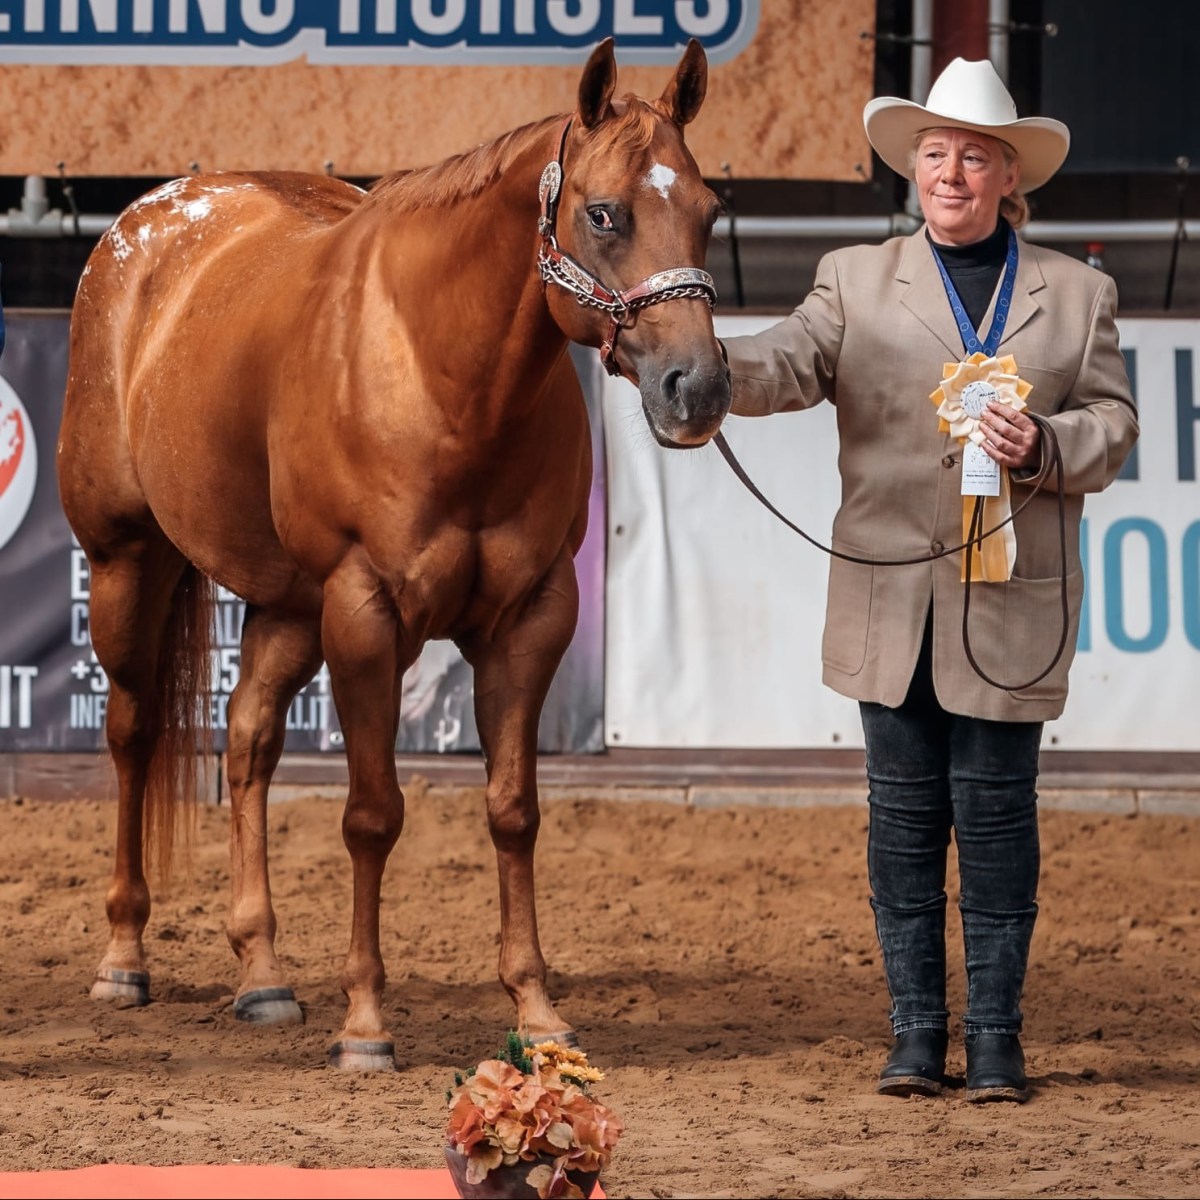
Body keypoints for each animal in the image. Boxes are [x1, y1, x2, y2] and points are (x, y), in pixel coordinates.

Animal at [56, 38, 730, 1071]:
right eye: (604, 212)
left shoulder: (530, 619)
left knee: (248, 740)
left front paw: (537, 1011)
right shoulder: (366, 614)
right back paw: (125, 959)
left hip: (289, 608)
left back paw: (262, 975)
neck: (437, 372)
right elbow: (372, 816)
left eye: (707, 208)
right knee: (131, 735)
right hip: (129, 562)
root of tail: (145, 225)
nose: (695, 388)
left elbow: (513, 811)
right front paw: (367, 1024)